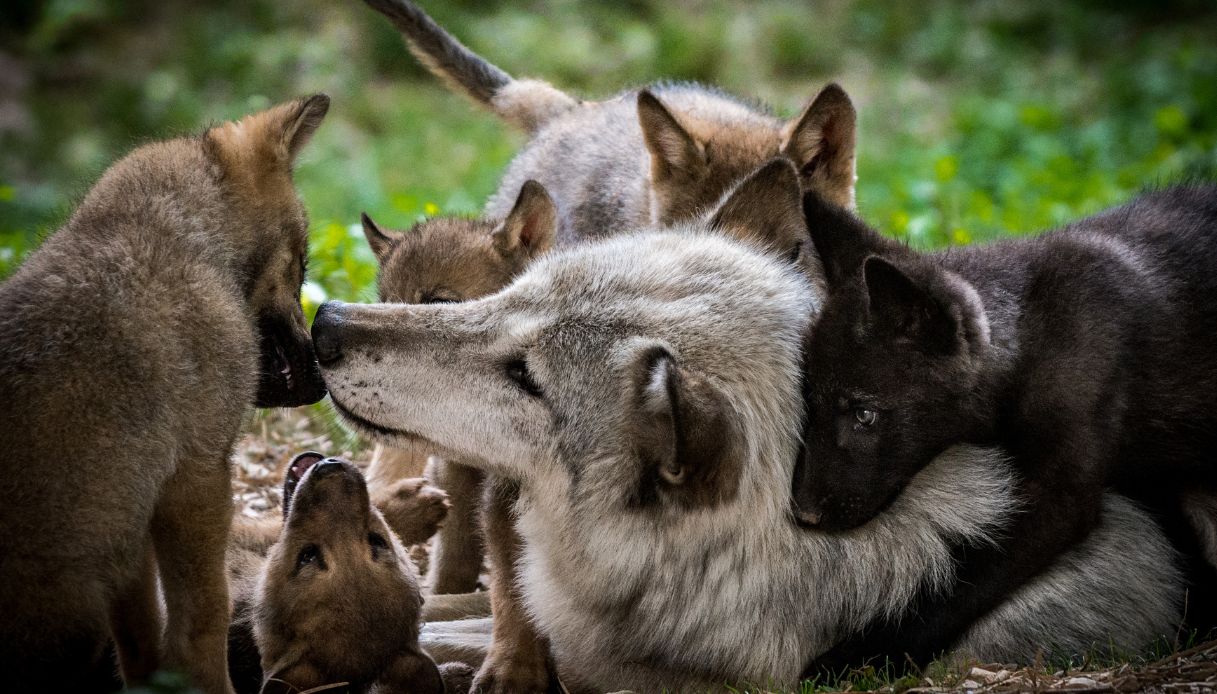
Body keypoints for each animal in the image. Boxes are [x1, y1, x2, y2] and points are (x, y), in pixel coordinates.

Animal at [0, 95, 330, 692]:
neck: (176, 239)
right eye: (299, 268)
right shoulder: (196, 480)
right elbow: (204, 619)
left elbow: (143, 637)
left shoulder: (134, 515)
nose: (320, 381)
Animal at [792, 186, 1217, 671]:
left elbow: (951, 594)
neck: (1031, 343)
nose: (803, 515)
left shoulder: (1058, 499)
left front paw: (853, 659)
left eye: (864, 414)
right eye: (811, 405)